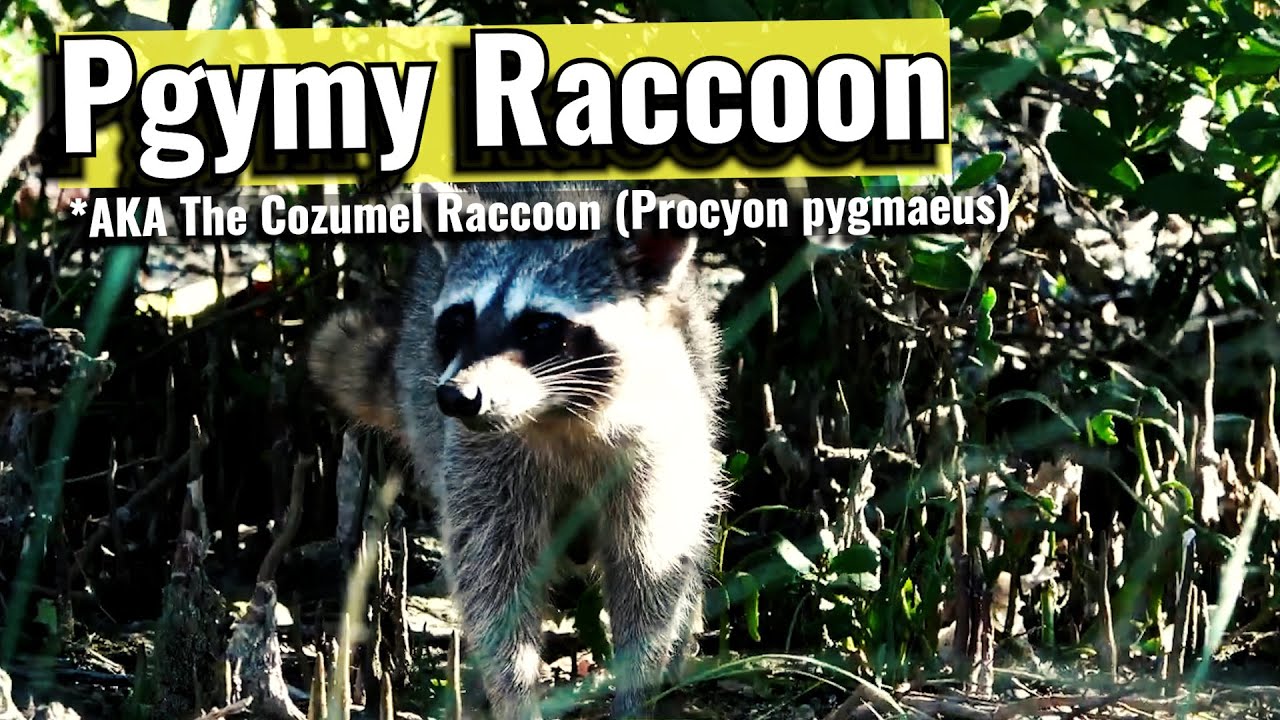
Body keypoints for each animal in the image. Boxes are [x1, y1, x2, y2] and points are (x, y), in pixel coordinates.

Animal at [308, 181, 727, 719]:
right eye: (457, 322)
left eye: (539, 328)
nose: (457, 397)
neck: (557, 414)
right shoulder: (480, 457)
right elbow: (493, 579)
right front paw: (514, 692)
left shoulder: (655, 444)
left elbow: (650, 566)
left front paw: (639, 683)